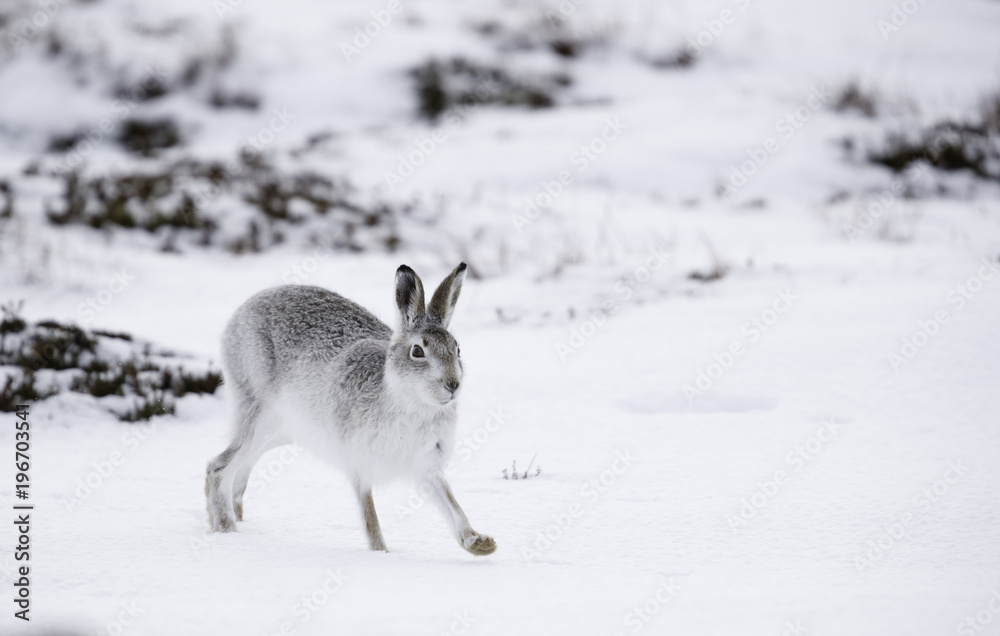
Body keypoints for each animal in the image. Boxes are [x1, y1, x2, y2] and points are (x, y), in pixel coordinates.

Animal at [205, 262, 497, 556]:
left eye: (457, 349)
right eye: (417, 351)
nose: (453, 384)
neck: (409, 401)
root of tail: (244, 310)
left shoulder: (427, 463)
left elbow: (451, 502)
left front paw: (478, 543)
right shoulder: (359, 463)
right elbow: (370, 518)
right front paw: (381, 554)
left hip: (285, 432)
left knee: (242, 465)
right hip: (259, 412)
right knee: (218, 466)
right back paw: (227, 529)